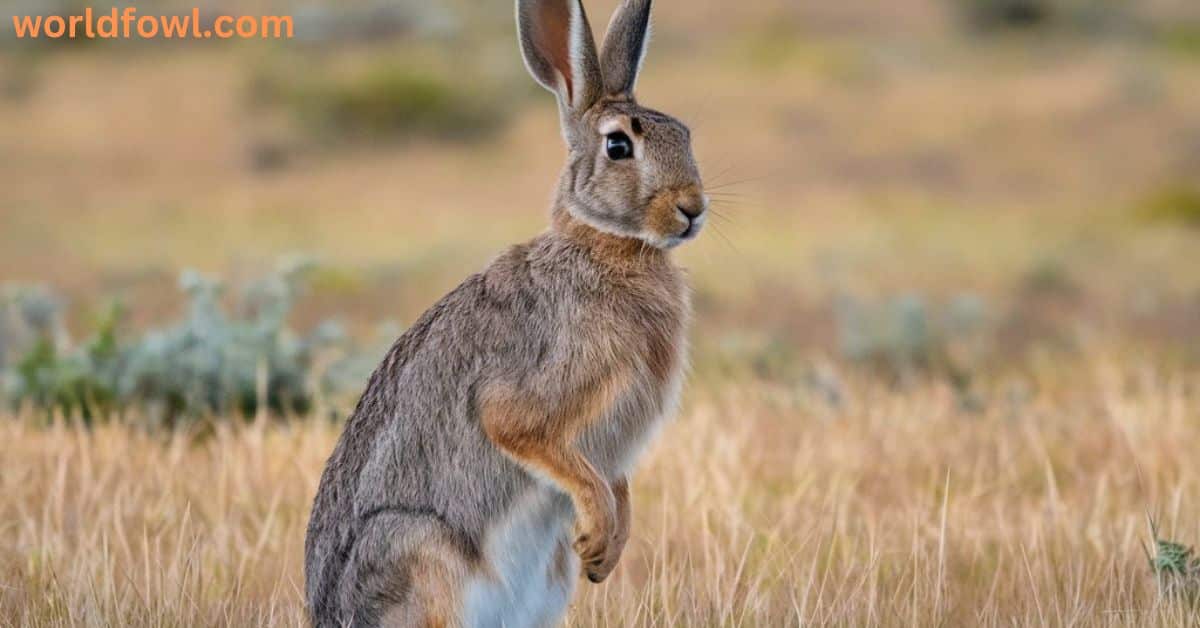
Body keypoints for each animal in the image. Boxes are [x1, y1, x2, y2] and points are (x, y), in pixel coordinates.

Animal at [304, 0, 707, 625]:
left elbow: (616, 485)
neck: (605, 247)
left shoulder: (613, 449)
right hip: (420, 552)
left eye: (685, 134)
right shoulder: (535, 395)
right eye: (619, 146)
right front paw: (598, 536)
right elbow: (527, 433)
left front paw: (607, 551)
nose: (693, 208)